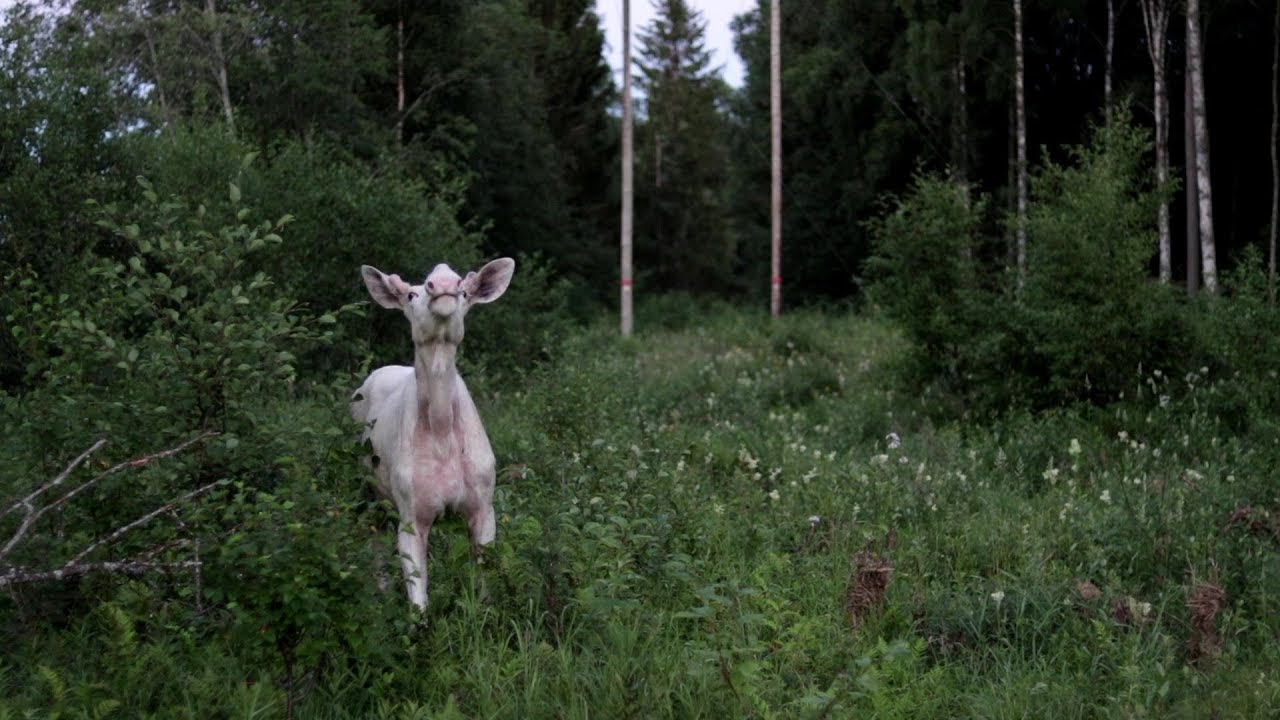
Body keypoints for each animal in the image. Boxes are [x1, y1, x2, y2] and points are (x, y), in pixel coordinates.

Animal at [351, 258, 514, 610]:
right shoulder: (409, 511)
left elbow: (484, 585)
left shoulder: (484, 502)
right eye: (411, 294)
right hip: (366, 489)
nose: (444, 284)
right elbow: (417, 600)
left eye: (464, 291)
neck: (441, 431)